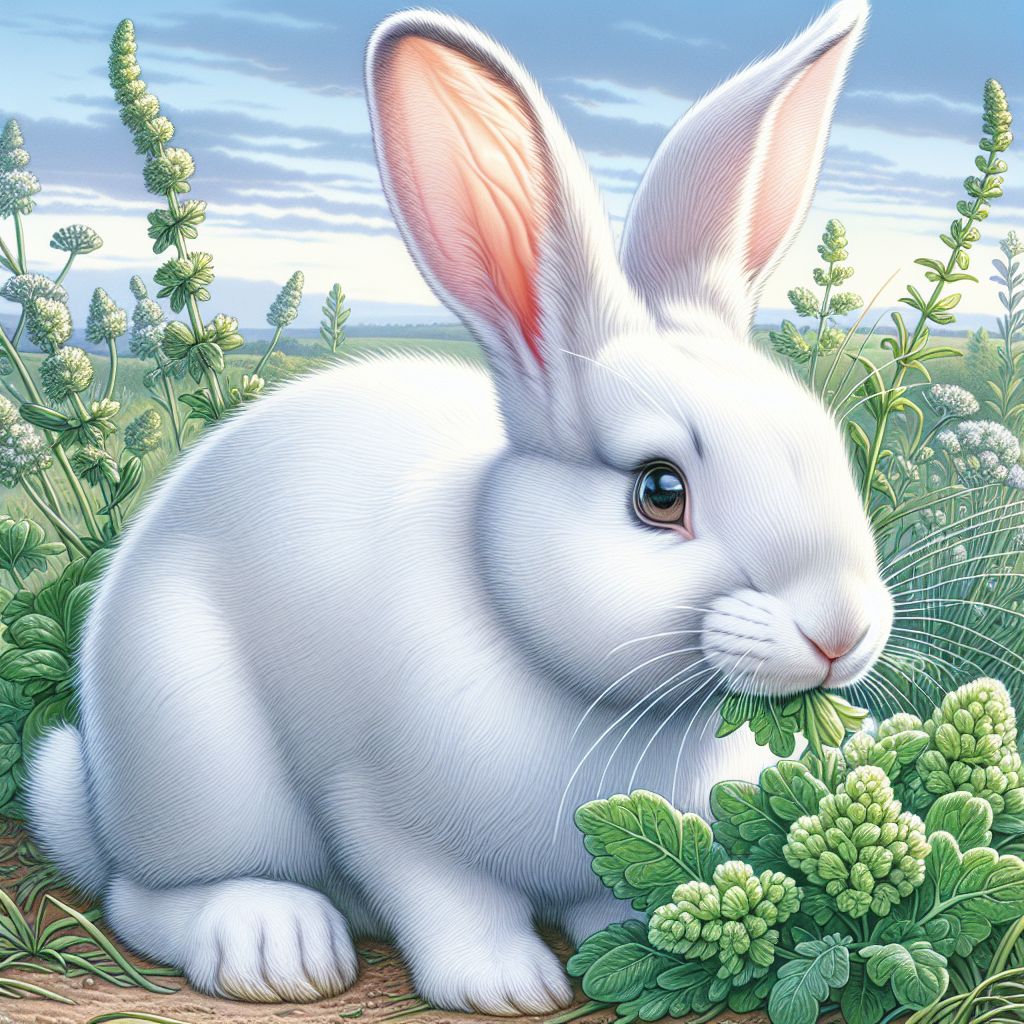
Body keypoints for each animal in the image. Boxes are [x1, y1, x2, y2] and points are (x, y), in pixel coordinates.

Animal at [26, 0, 891, 1014]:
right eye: (659, 492)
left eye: (824, 442)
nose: (842, 631)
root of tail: (98, 788)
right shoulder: (385, 812)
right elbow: (451, 899)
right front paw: (509, 986)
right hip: (196, 764)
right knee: (145, 893)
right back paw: (277, 945)